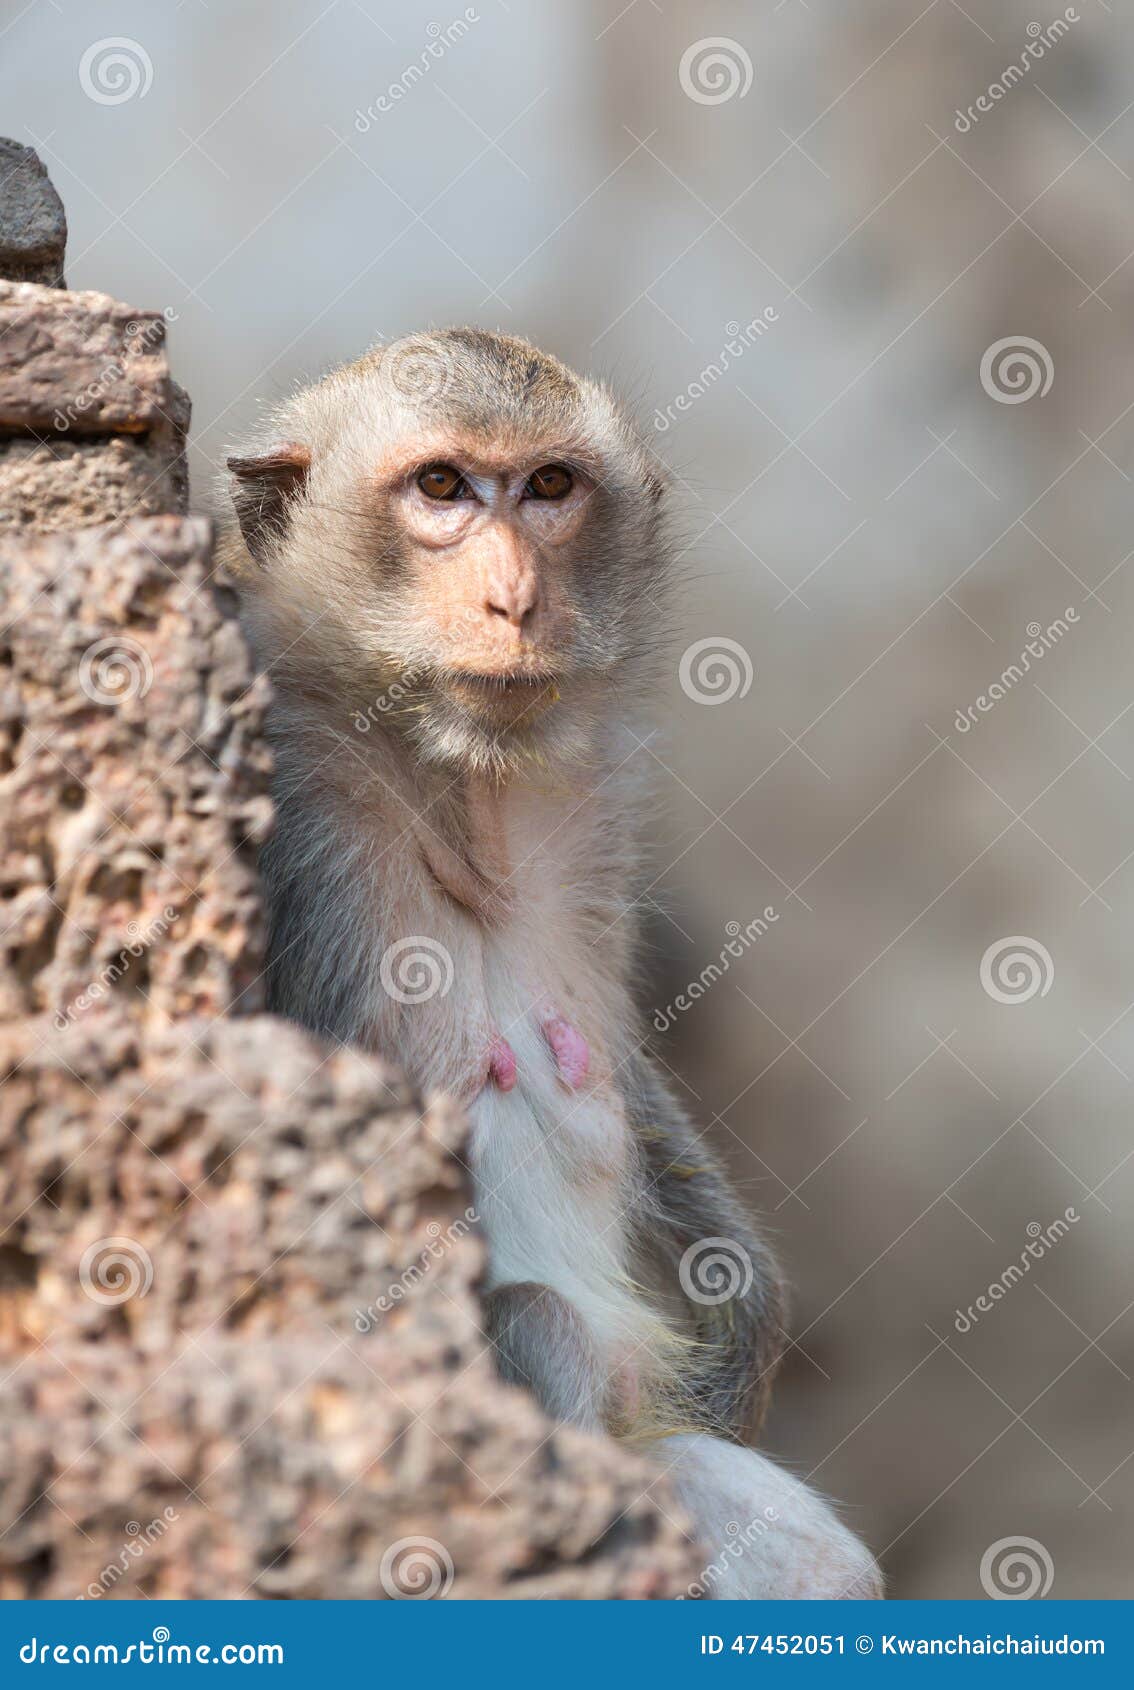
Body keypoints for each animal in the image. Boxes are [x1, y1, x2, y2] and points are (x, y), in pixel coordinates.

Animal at [219, 328, 882, 1600]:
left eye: (549, 487)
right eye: (440, 488)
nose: (515, 596)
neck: (455, 783)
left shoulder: (601, 811)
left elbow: (624, 1065)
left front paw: (747, 1310)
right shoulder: (293, 812)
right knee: (538, 1325)